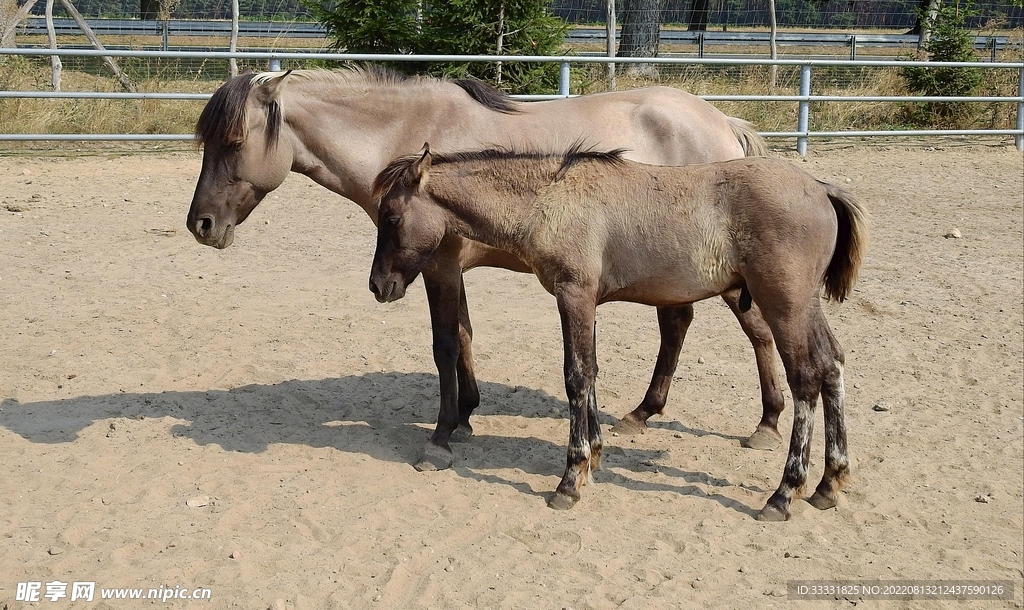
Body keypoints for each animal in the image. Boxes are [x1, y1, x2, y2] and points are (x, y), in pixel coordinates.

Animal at [185, 67, 785, 474]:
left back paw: (767, 423)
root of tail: (721, 120)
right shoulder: (448, 268)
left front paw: (442, 434)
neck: (407, 136)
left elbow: (445, 344)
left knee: (756, 331)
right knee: (679, 325)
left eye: (233, 142)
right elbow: (466, 336)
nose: (201, 224)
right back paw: (643, 412)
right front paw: (468, 414)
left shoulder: (439, 264)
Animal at [368, 144, 867, 521]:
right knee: (832, 365)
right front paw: (595, 456)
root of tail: (822, 189)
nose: (377, 285)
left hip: (785, 304)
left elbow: (575, 376)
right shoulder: (586, 301)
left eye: (390, 217)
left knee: (806, 377)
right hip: (804, 307)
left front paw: (570, 480)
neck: (550, 198)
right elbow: (590, 373)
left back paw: (783, 494)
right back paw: (828, 484)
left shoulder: (573, 294)